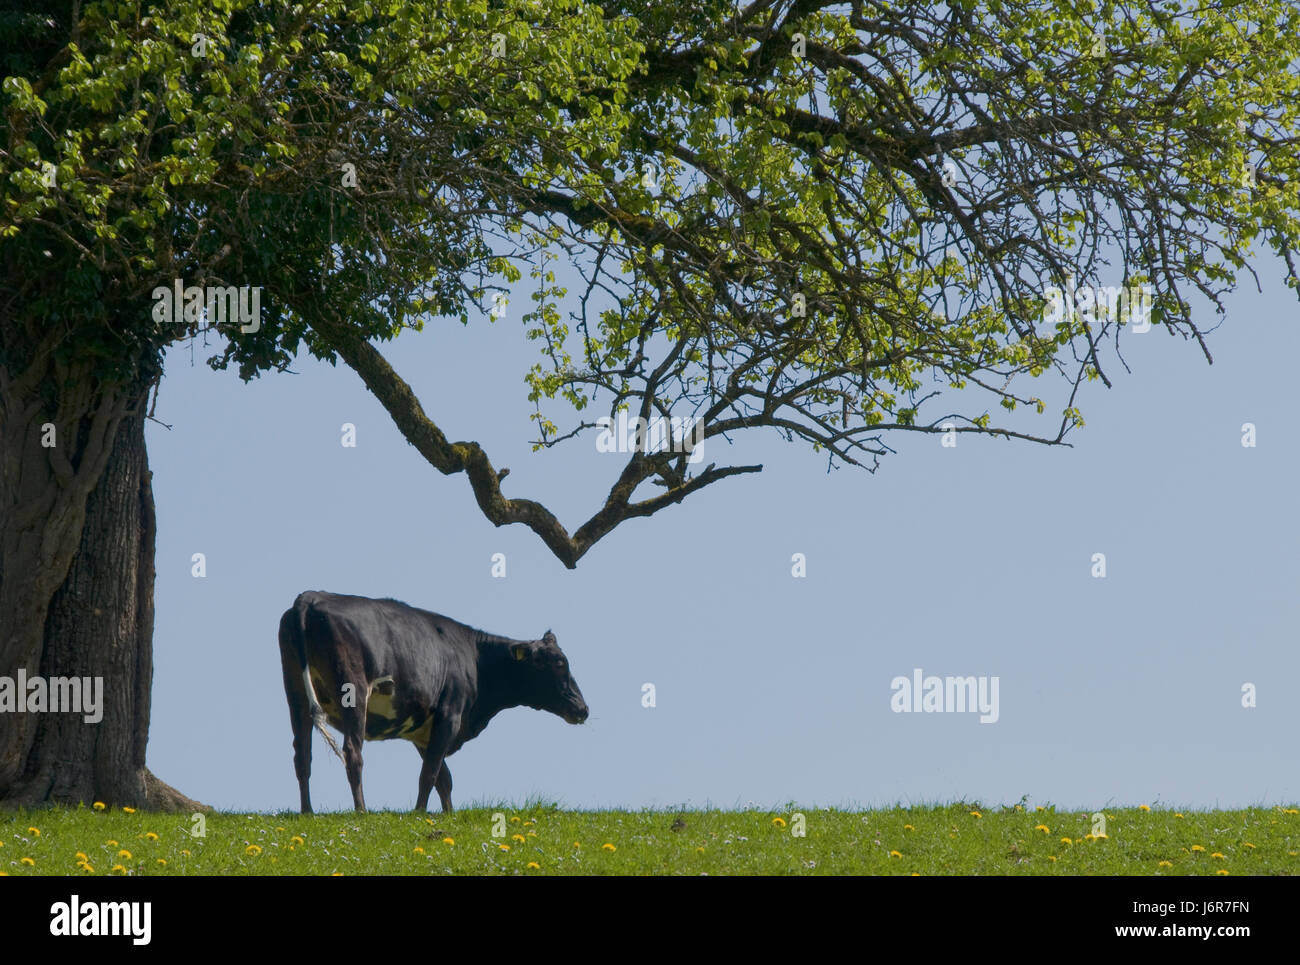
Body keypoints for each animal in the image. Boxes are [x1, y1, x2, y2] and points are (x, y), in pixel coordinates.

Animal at [277, 590, 588, 813]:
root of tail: (312, 596)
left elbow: (443, 778)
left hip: (296, 694)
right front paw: (418, 813)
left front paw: (448, 814)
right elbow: (430, 773)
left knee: (302, 754)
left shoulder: (422, 731)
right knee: (353, 752)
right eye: (559, 664)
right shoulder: (450, 714)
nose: (582, 708)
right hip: (353, 690)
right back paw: (361, 811)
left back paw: (307, 812)